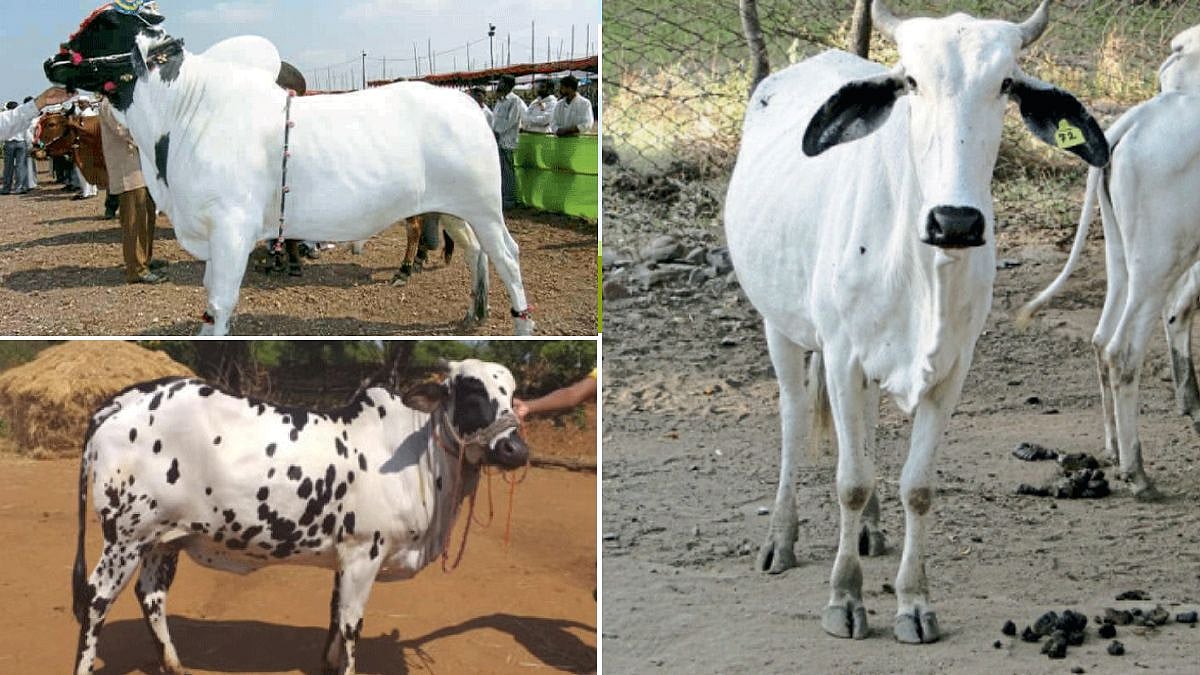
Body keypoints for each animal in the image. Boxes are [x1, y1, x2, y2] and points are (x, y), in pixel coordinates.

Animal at [45, 2, 534, 335]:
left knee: (508, 256)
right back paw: (475, 311)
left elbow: (219, 304)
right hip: (453, 208)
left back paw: (520, 323)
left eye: (107, 24)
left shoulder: (231, 225)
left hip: (485, 206)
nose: (54, 58)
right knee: (475, 251)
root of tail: (464, 100)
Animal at [71, 358, 530, 675]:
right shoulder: (364, 553)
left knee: (151, 596)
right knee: (95, 600)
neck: (412, 450)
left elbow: (334, 617)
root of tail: (123, 400)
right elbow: (351, 625)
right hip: (125, 539)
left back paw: (173, 664)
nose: (516, 450)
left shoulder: (345, 557)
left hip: (162, 539)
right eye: (472, 395)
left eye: (511, 397)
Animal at [724, 0, 1108, 643]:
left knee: (865, 434)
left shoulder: (952, 368)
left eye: (1006, 83)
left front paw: (914, 602)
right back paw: (782, 536)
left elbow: (917, 486)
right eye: (911, 81)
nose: (955, 221)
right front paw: (845, 599)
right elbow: (849, 481)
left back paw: (870, 531)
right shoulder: (843, 354)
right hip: (782, 327)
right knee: (795, 417)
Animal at [1017, 27, 1200, 499]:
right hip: (1158, 260)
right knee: (1125, 348)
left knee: (1102, 338)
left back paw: (1117, 450)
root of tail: (1131, 123)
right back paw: (1138, 473)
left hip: (1124, 256)